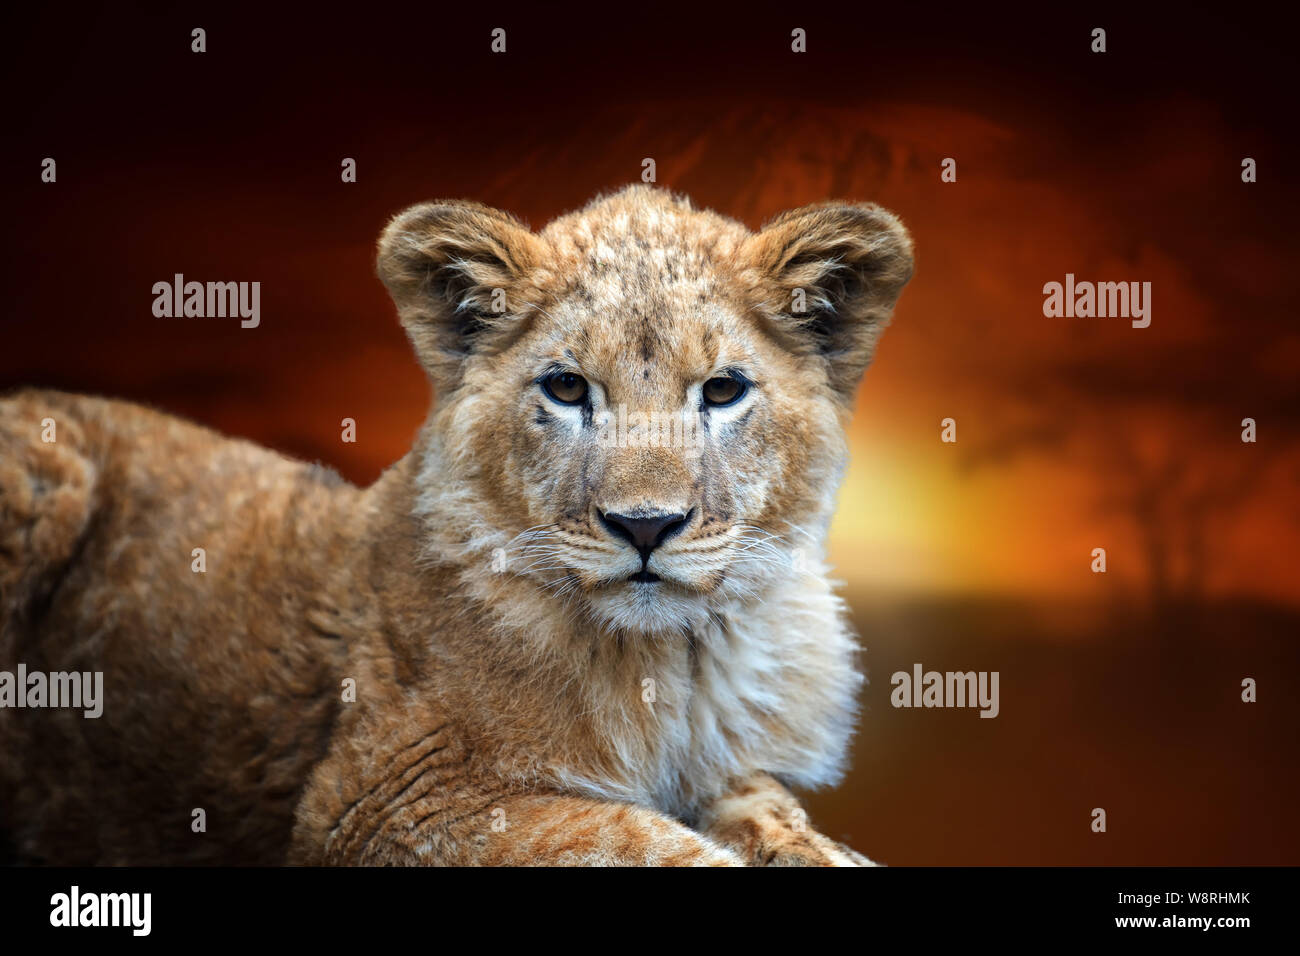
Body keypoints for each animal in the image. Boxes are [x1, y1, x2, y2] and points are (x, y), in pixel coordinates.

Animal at [0, 185, 912, 865]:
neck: (679, 661)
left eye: (723, 391)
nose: (646, 527)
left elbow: (776, 819)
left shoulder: (728, 771)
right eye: (567, 388)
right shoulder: (388, 798)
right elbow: (644, 841)